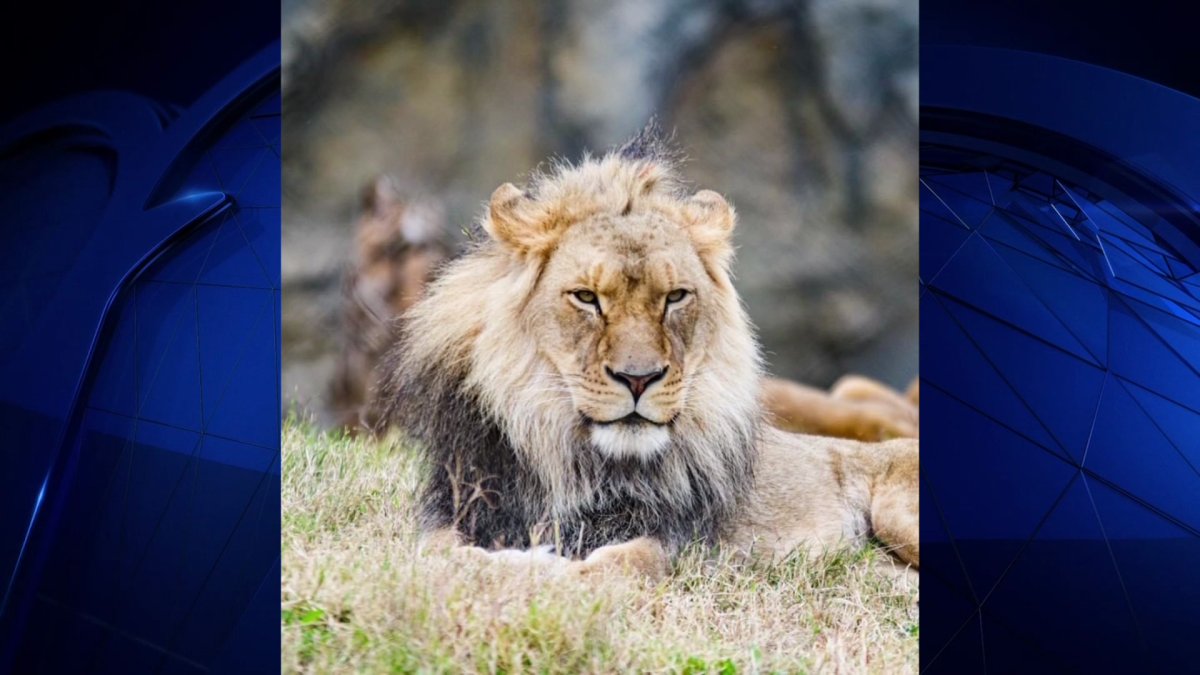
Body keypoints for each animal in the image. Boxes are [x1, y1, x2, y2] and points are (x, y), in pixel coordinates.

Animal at [376, 124, 918, 579]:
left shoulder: (672, 540)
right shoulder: (452, 512)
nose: (638, 379)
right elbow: (438, 556)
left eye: (675, 297)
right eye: (586, 297)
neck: (567, 455)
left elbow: (607, 569)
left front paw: (546, 572)